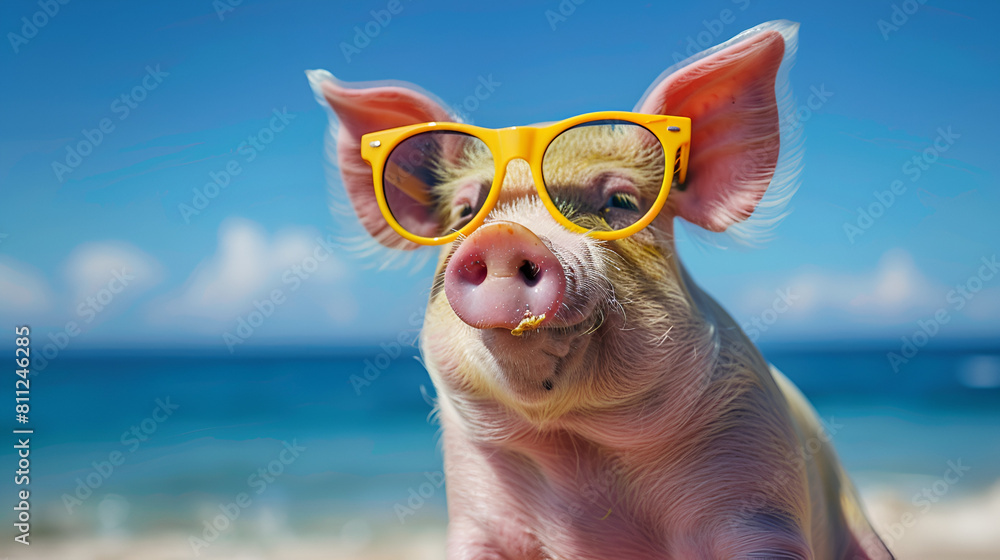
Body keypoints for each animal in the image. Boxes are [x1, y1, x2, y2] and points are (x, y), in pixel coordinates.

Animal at [309, 20, 894, 560]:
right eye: (465, 212)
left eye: (621, 202)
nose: (505, 235)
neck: (577, 451)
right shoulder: (475, 510)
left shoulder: (757, 496)